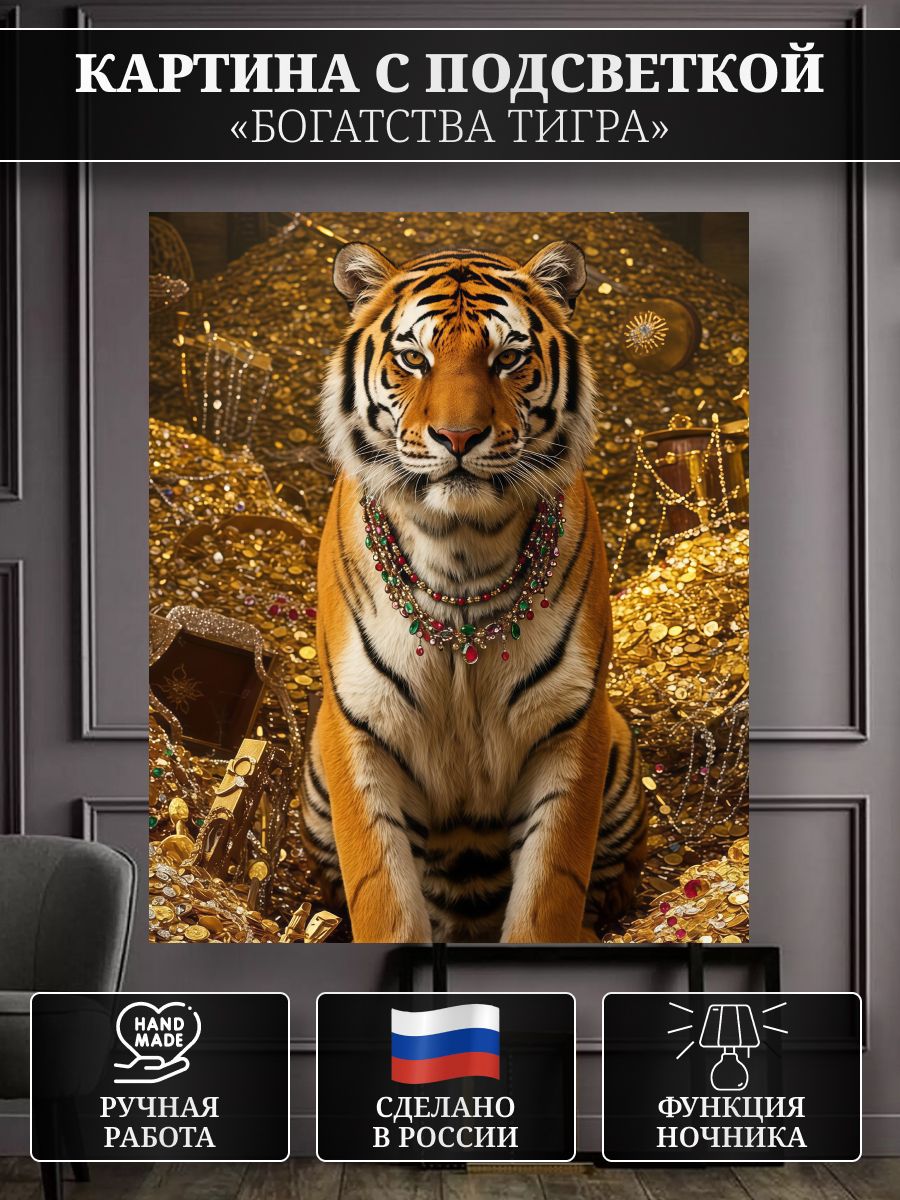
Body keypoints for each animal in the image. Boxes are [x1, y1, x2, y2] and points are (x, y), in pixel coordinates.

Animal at [300, 237, 647, 943]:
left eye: (507, 358)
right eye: (414, 358)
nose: (458, 438)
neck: (460, 553)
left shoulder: (570, 726)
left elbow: (550, 896)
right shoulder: (358, 729)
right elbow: (381, 895)